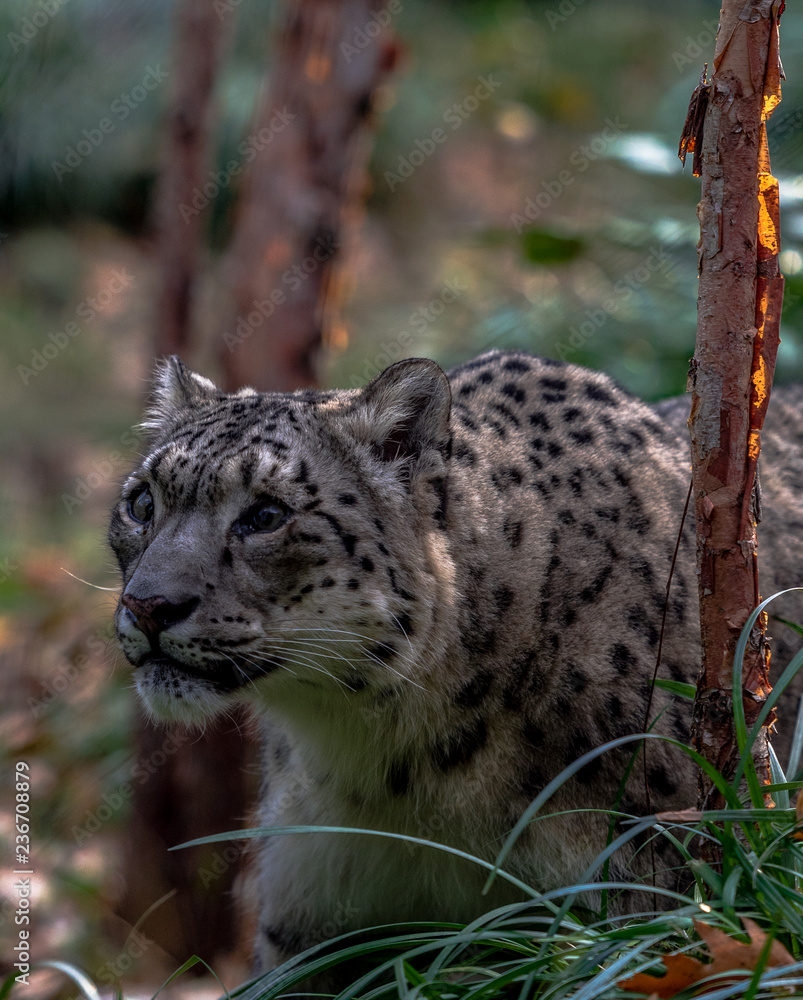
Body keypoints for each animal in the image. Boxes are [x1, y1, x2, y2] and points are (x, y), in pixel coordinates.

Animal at [109, 349, 803, 980]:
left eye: (266, 515)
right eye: (142, 503)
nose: (147, 605)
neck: (398, 769)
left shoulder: (643, 888)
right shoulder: (307, 918)